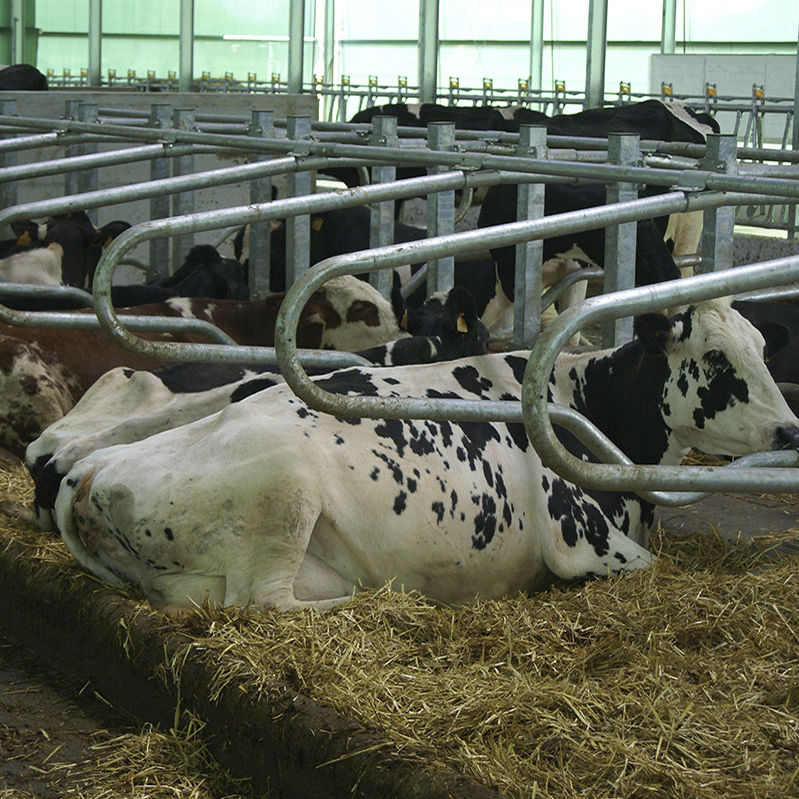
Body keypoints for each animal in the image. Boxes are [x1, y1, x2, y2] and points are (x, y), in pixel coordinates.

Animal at [50, 298, 799, 612]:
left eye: (765, 348)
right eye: (715, 358)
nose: (789, 430)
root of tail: (89, 475)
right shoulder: (583, 542)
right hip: (287, 491)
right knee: (265, 601)